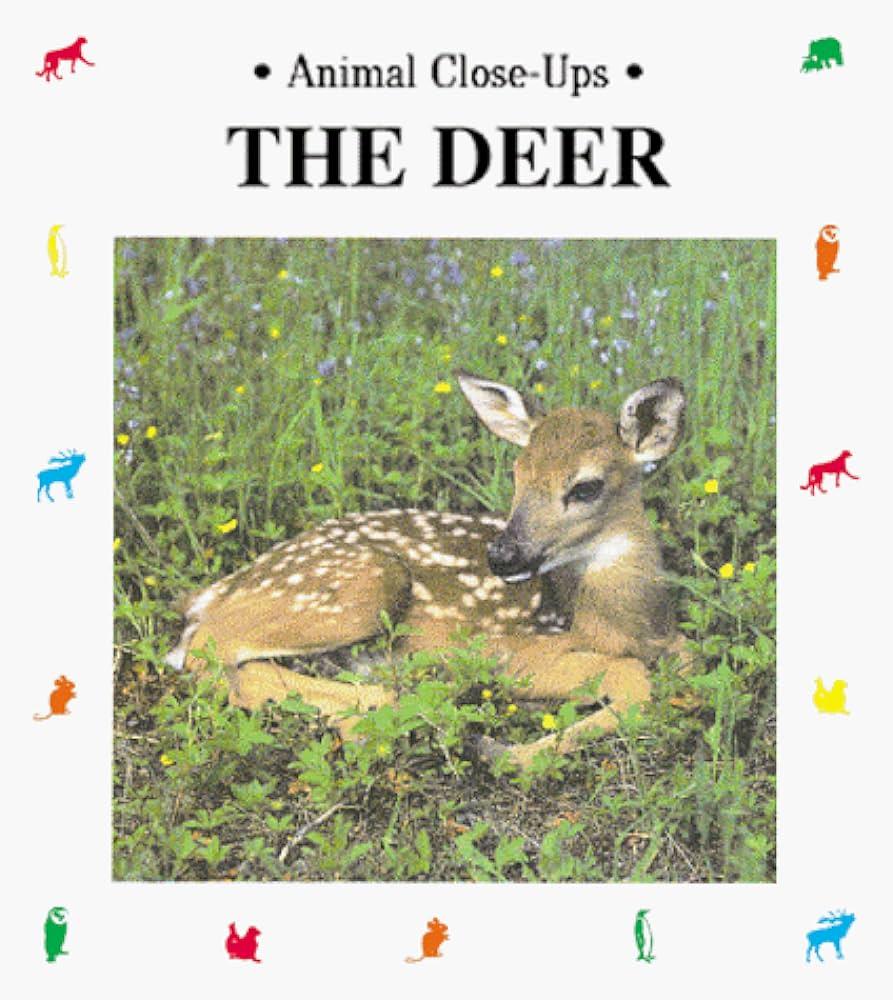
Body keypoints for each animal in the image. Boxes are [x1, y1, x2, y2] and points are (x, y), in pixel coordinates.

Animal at [166, 373, 689, 768]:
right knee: (212, 653)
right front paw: (500, 750)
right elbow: (630, 678)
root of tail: (212, 592)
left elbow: (683, 664)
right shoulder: (511, 650)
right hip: (359, 586)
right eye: (517, 473)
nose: (502, 555)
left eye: (586, 487)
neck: (622, 621)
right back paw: (377, 712)